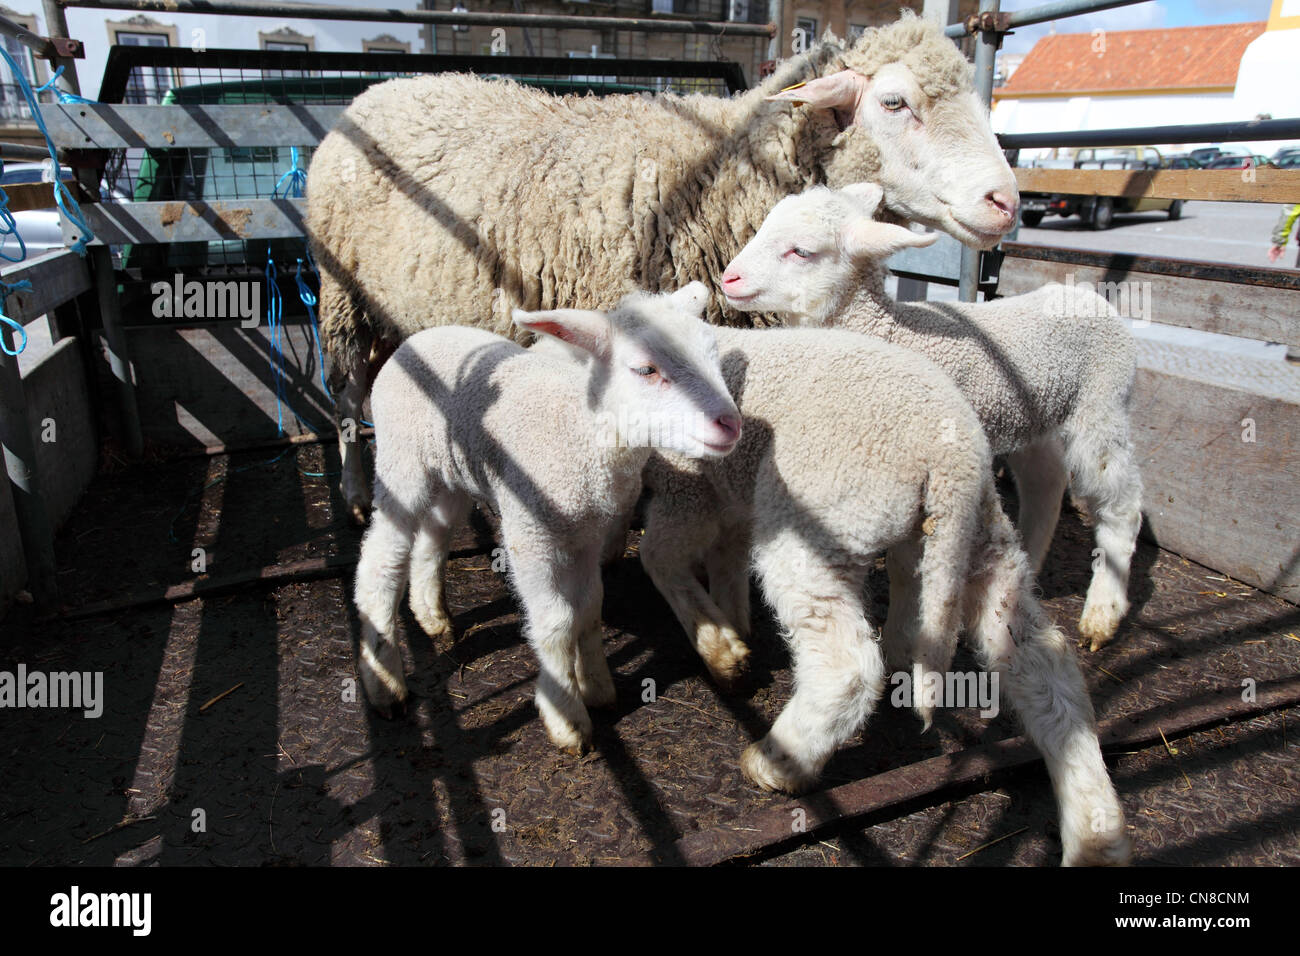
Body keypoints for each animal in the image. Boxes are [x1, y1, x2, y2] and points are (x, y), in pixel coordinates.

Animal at [305, 11, 1021, 524]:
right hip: (342, 298)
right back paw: (355, 493)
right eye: (895, 104)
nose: (1007, 203)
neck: (725, 176)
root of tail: (379, 91)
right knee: (345, 397)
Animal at [352, 282, 742, 754]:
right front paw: (567, 718)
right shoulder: (532, 533)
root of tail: (413, 341)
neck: (584, 433)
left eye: (712, 355)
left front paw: (597, 687)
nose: (730, 424)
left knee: (434, 537)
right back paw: (384, 685)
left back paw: (432, 616)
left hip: (453, 474)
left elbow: (589, 606)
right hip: (402, 462)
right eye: (646, 369)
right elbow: (556, 620)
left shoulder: (588, 532)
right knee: (381, 560)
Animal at [635, 324, 1130, 865]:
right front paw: (733, 629)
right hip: (981, 538)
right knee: (1044, 665)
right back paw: (1094, 831)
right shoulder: (726, 496)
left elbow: (658, 558)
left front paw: (720, 650)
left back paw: (779, 762)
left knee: (847, 664)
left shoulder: (687, 488)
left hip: (817, 522)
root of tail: (954, 454)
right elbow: (725, 558)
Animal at [720, 184, 1144, 651]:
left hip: (1102, 403)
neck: (886, 330)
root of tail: (1089, 296)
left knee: (1121, 502)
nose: (728, 279)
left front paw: (900, 640)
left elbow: (906, 567)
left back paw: (1102, 613)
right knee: (1047, 478)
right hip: (1037, 415)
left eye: (801, 251)